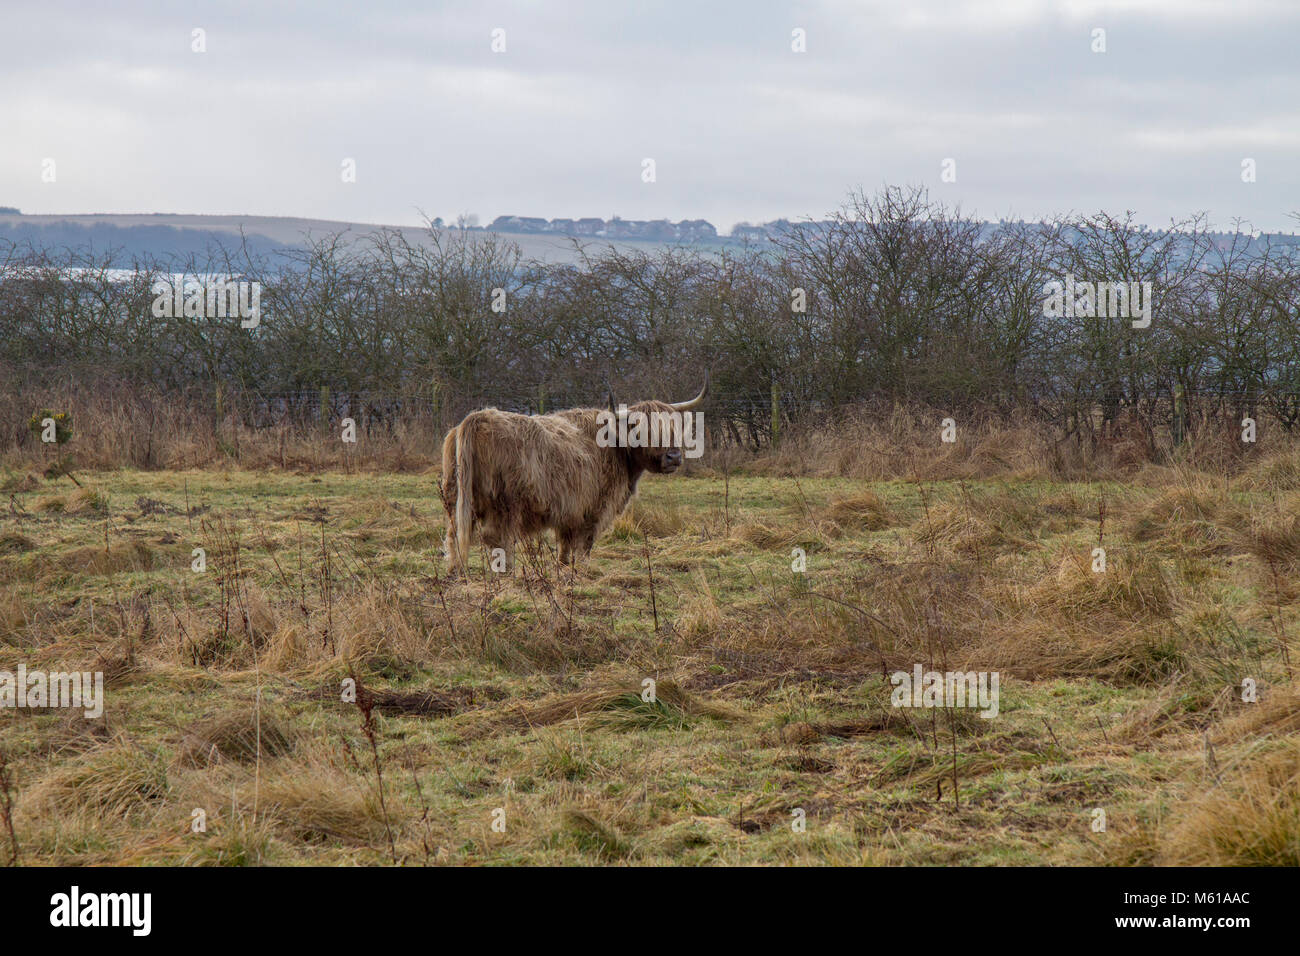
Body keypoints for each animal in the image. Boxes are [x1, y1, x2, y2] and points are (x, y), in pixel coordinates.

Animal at [441, 376, 708, 573]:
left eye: (673, 426)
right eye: (642, 430)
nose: (673, 457)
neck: (616, 448)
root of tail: (476, 418)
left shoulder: (568, 513)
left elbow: (565, 546)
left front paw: (563, 568)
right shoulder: (594, 509)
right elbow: (584, 546)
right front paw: (582, 570)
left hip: (455, 499)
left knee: (454, 535)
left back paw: (456, 570)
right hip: (504, 507)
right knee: (498, 541)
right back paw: (508, 573)